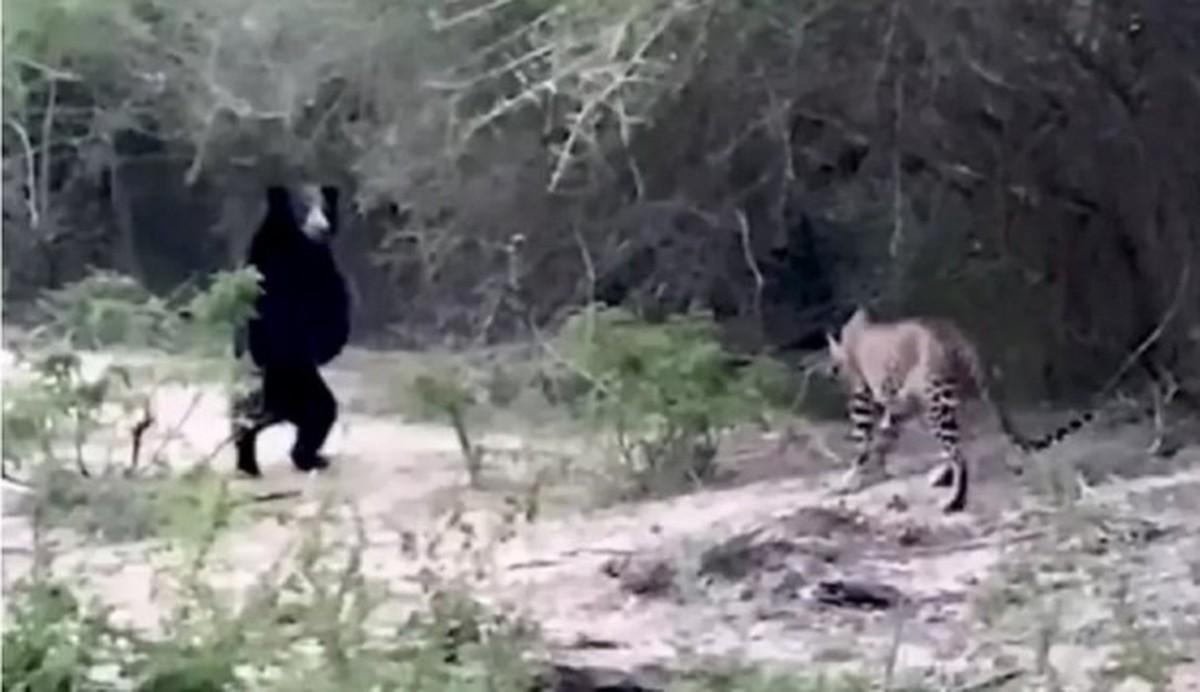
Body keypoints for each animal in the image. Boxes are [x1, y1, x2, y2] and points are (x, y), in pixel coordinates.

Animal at [231, 183, 351, 477]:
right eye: (304, 206)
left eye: (325, 206)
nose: (321, 227)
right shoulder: (306, 261)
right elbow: (330, 304)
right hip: (298, 381)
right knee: (320, 411)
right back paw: (308, 458)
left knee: (247, 409)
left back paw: (248, 460)